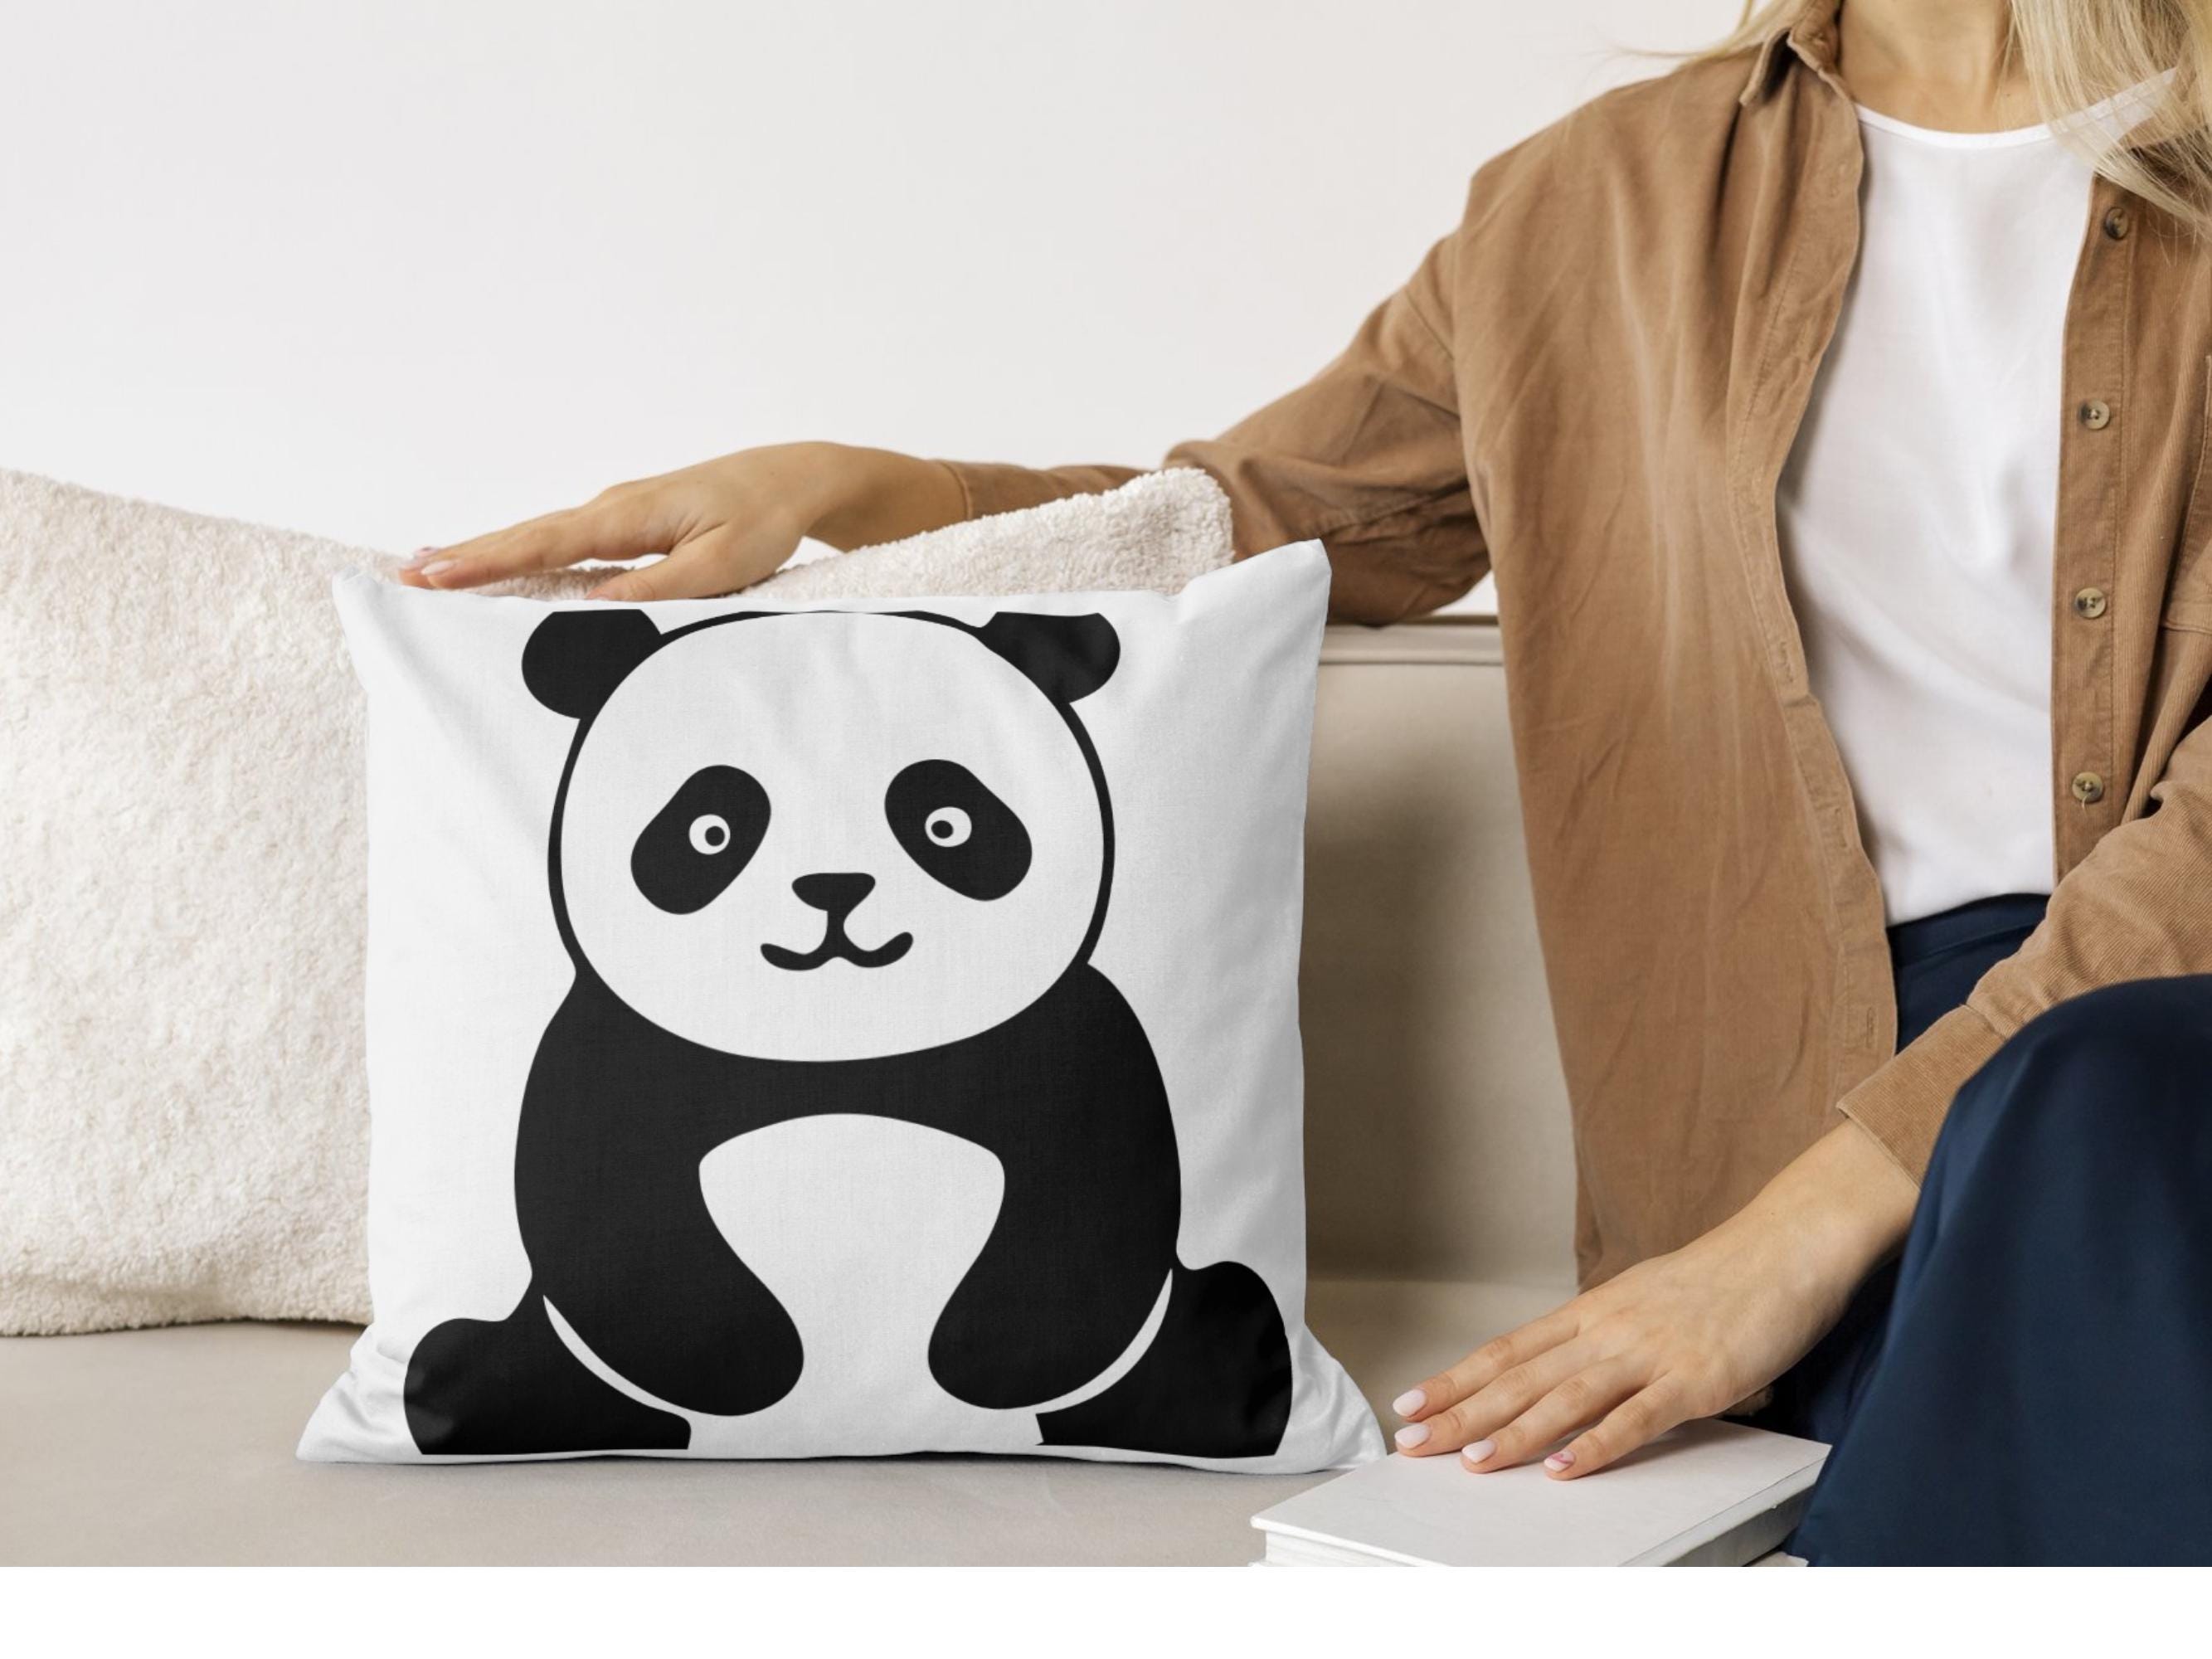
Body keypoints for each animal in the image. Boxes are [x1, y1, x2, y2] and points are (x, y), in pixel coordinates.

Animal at [401, 602, 1293, 1461]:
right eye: (709, 831)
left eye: (946, 823)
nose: (834, 887)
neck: (839, 1052)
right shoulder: (610, 1058)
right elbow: (598, 1202)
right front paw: (756, 1363)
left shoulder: (1079, 1036)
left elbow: (1089, 1205)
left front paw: (985, 1358)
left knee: (1225, 1310)